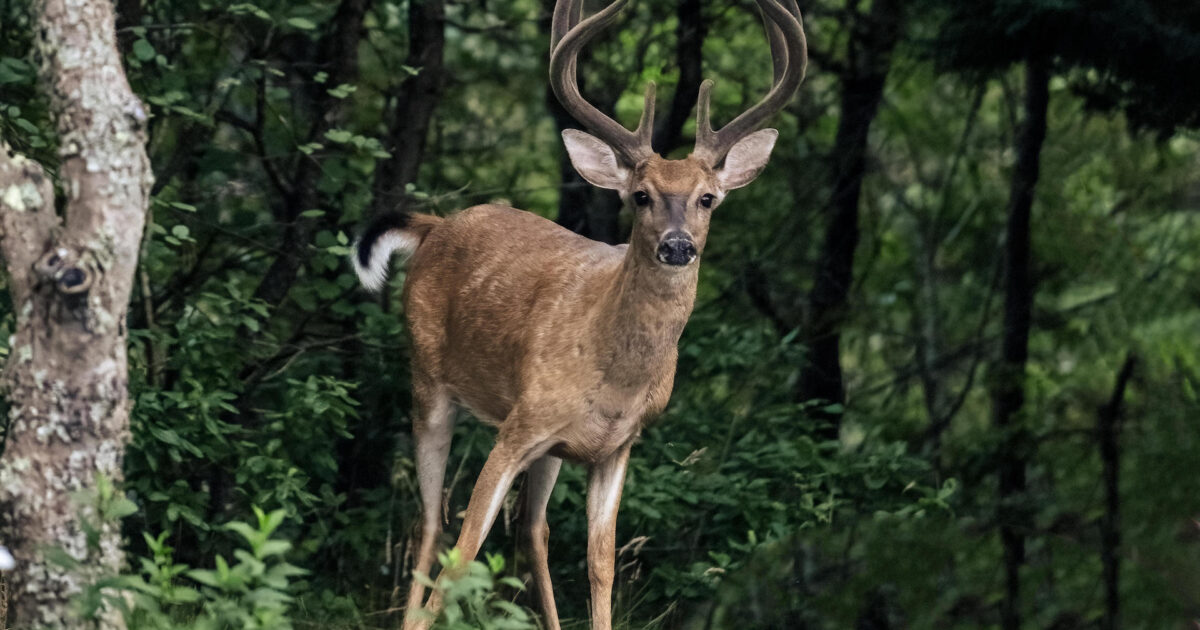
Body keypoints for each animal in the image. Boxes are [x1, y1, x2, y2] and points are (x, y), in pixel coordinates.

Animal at [351, 0, 806, 628]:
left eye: (707, 198)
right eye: (640, 195)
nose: (678, 246)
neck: (614, 374)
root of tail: (433, 226)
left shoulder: (617, 444)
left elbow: (601, 562)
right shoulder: (519, 425)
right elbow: (466, 550)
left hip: (553, 450)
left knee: (531, 528)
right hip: (429, 381)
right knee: (432, 522)